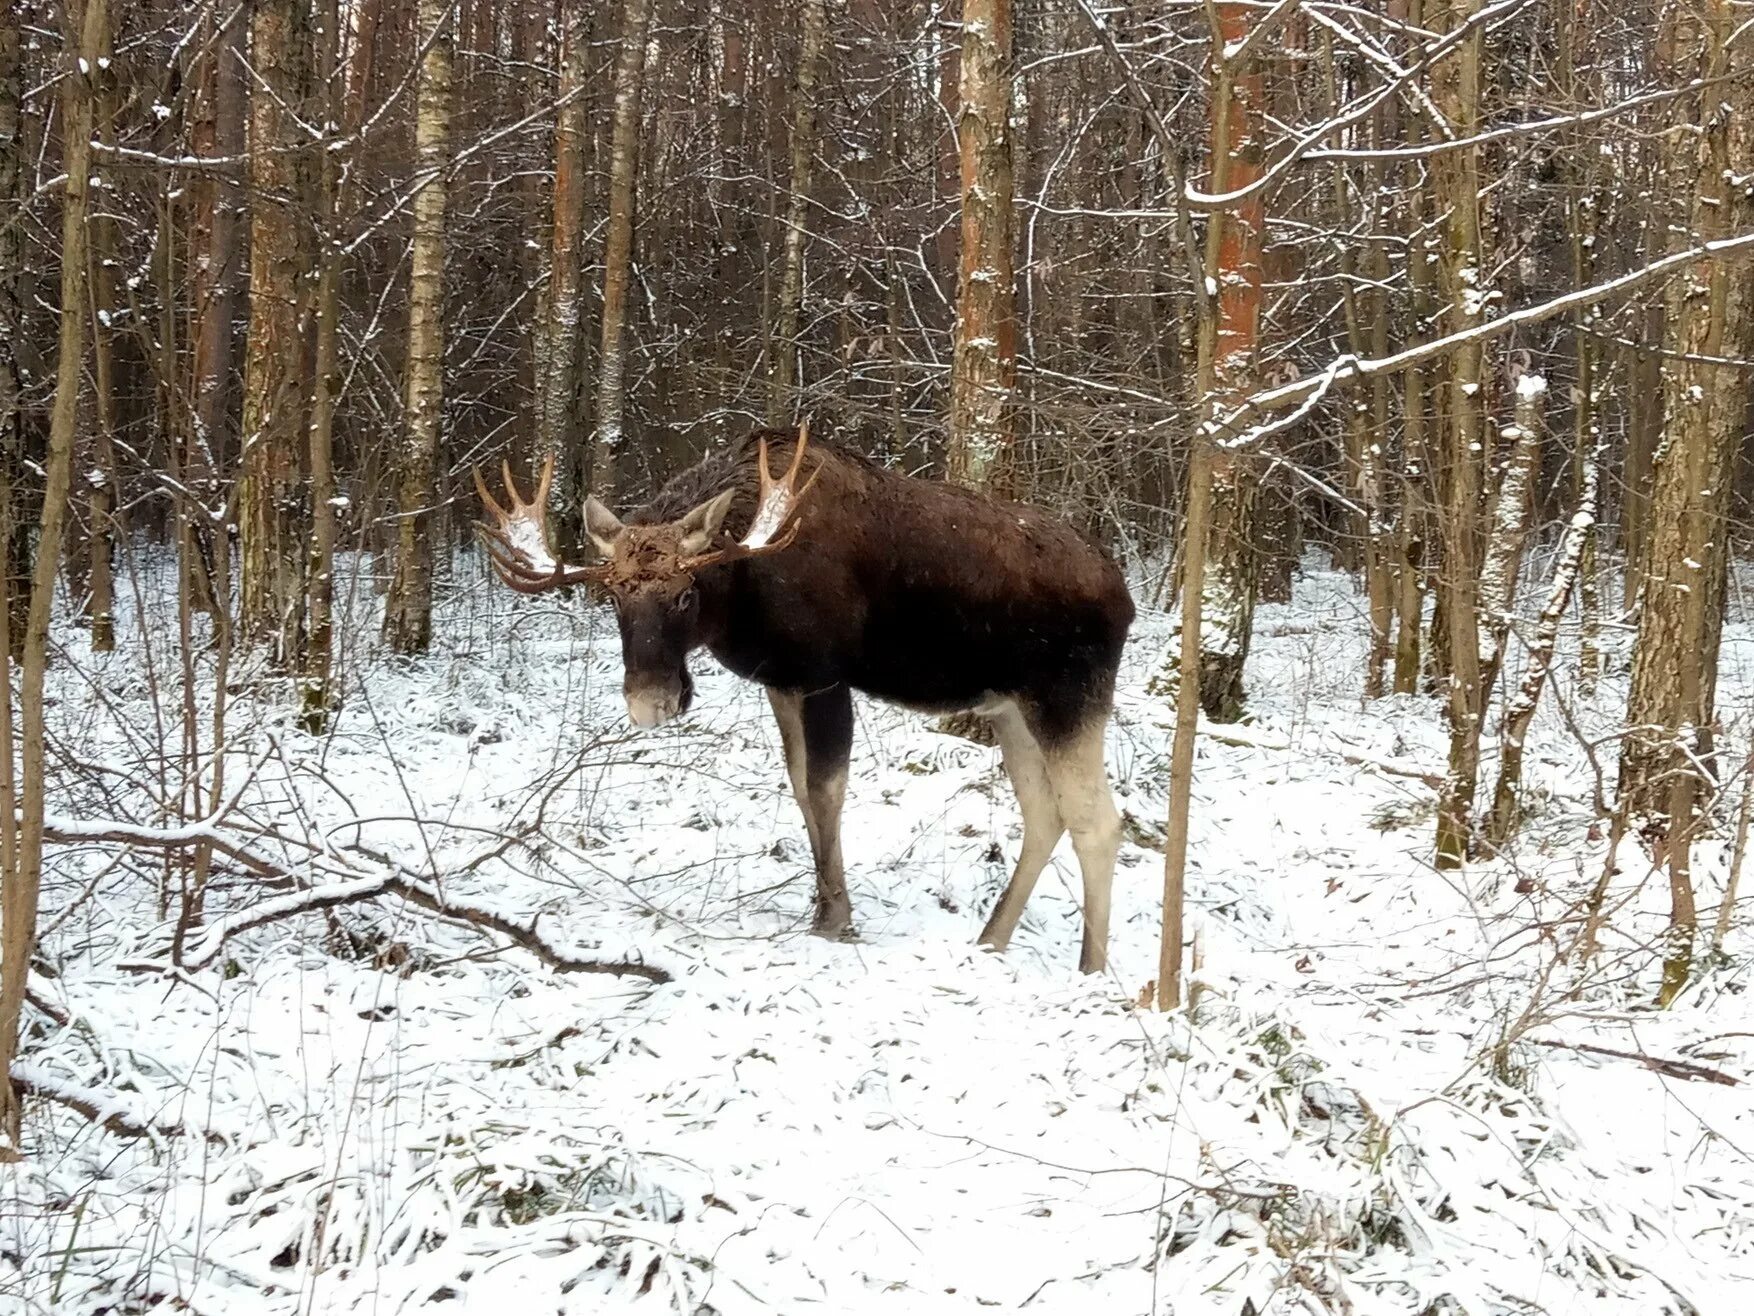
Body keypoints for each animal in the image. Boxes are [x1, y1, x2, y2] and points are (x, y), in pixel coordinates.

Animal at [477, 428, 1136, 975]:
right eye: (614, 596)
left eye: (686, 593)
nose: (649, 702)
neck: (744, 589)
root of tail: (1125, 598)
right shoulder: (782, 681)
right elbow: (798, 786)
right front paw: (820, 907)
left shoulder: (824, 676)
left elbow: (826, 790)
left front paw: (837, 919)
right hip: (1010, 709)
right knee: (1045, 814)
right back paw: (991, 938)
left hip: (1067, 697)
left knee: (1098, 820)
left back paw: (1092, 968)